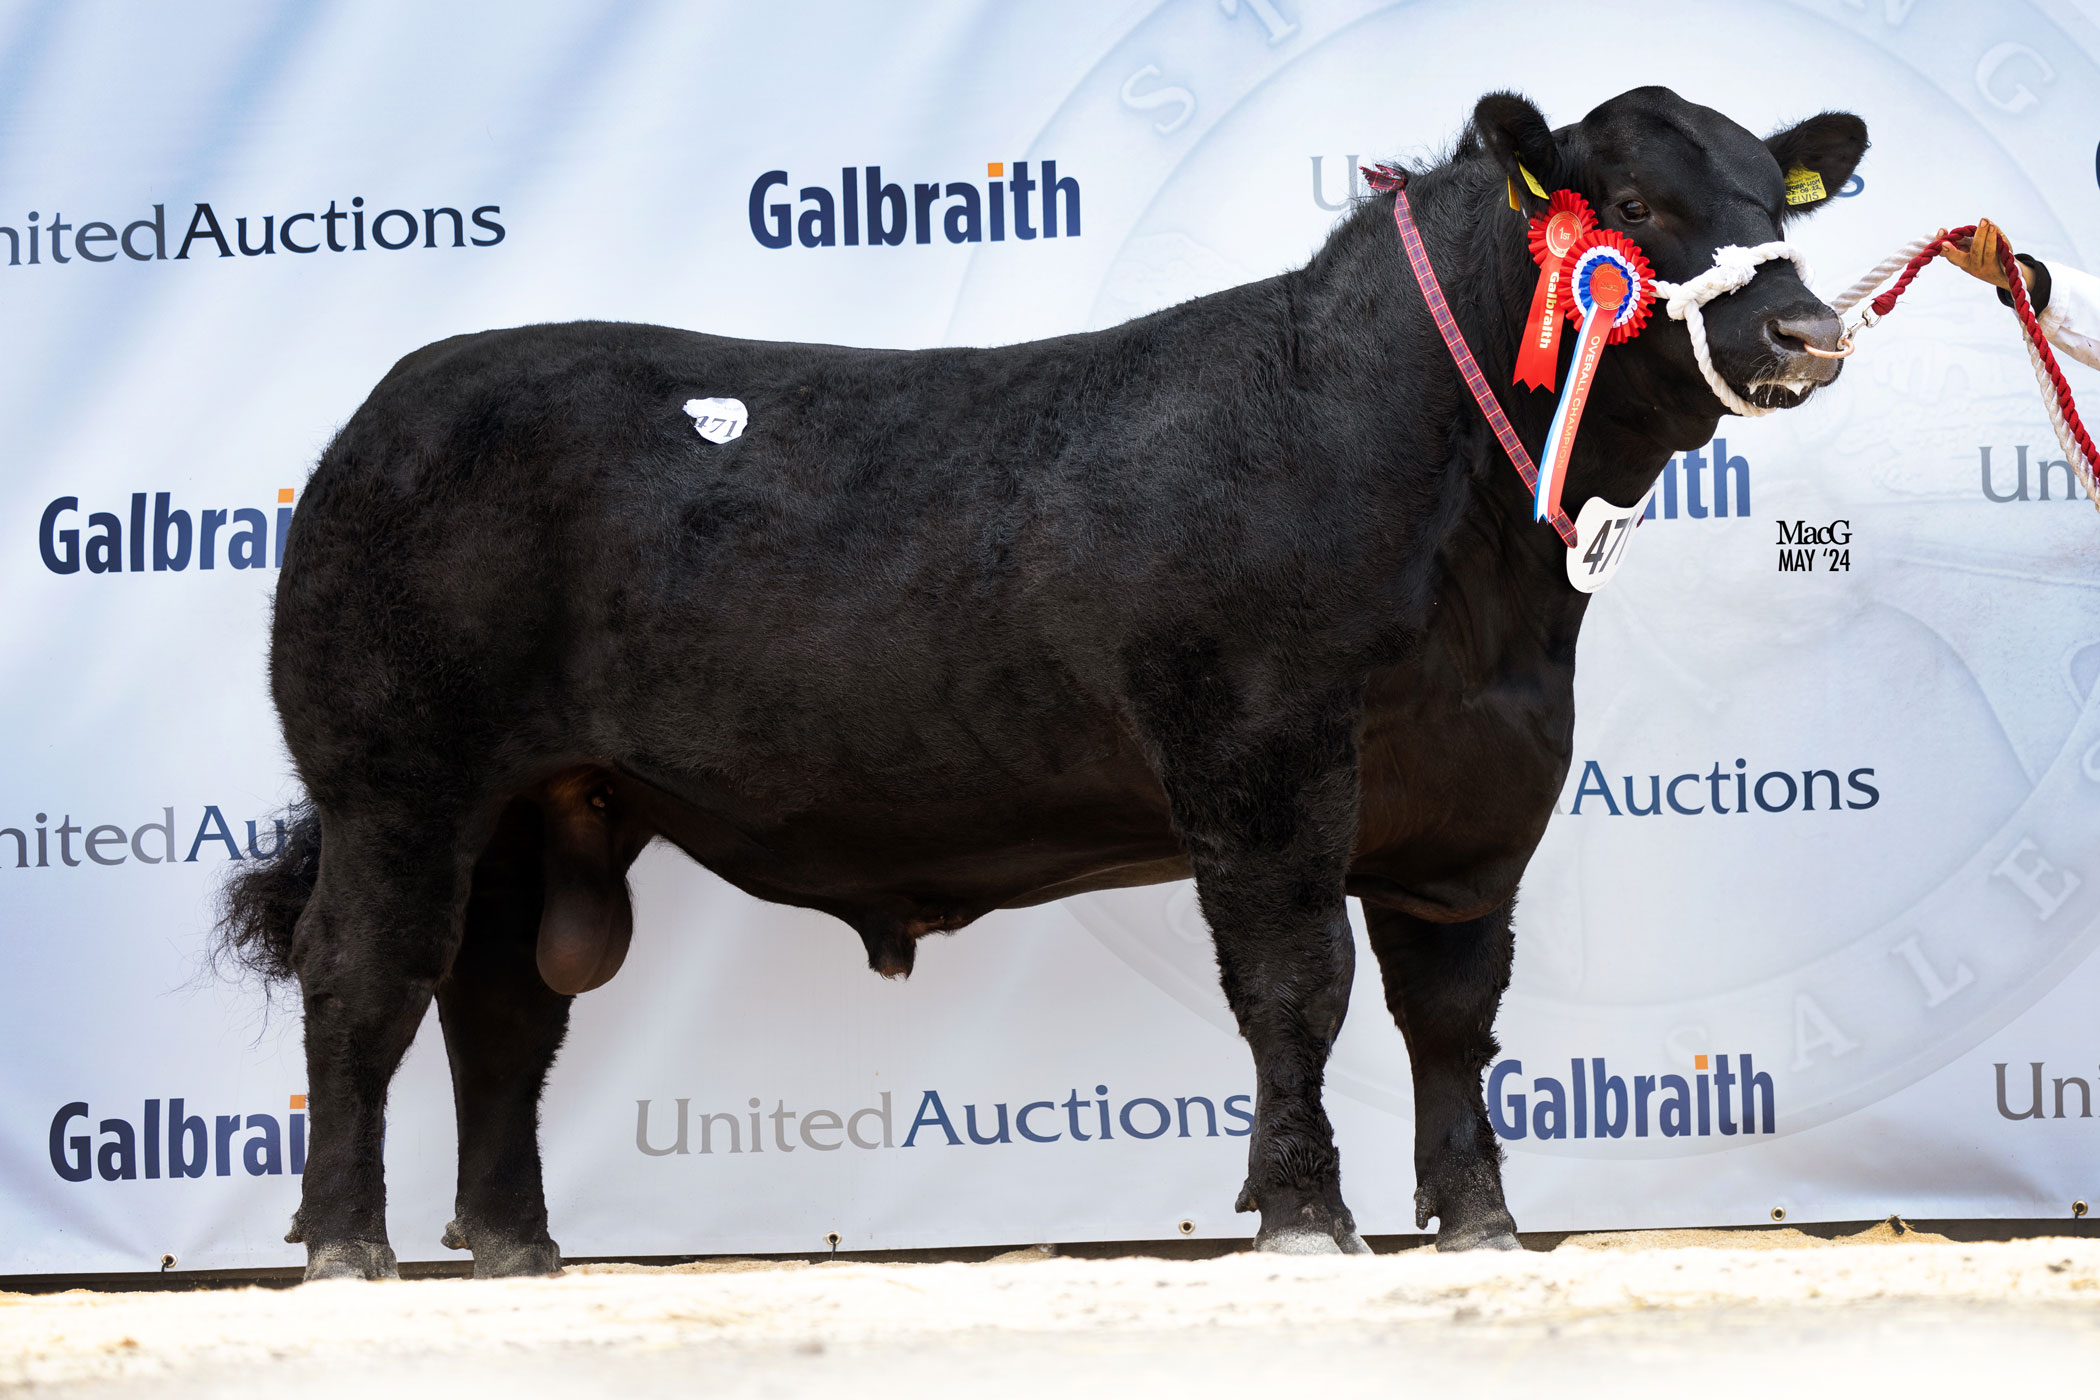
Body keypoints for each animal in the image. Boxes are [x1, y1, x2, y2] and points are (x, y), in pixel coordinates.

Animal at [219, 86, 1867, 1280]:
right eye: (1636, 208)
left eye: (1766, 195)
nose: (1807, 328)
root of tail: (397, 404)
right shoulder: (1261, 763)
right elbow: (1299, 986)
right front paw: (1302, 1215)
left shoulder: (1476, 803)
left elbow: (1452, 1016)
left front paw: (1480, 1223)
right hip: (396, 779)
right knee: (364, 982)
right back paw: (348, 1245)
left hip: (543, 802)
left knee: (502, 1002)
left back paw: (512, 1246)